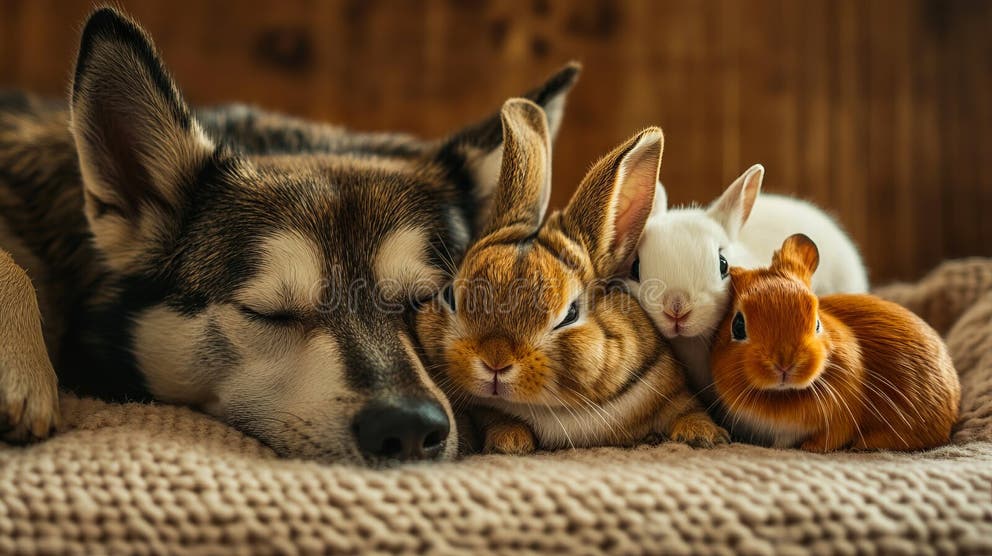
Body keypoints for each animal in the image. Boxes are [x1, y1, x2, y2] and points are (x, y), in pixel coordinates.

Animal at [416, 98, 729, 454]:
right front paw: (509, 442)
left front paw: (703, 435)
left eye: (571, 315)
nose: (495, 361)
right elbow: (497, 419)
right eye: (450, 297)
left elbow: (688, 411)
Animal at [709, 233, 960, 451]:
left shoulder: (841, 419)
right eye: (738, 326)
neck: (782, 394)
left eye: (817, 323)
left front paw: (809, 448)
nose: (785, 364)